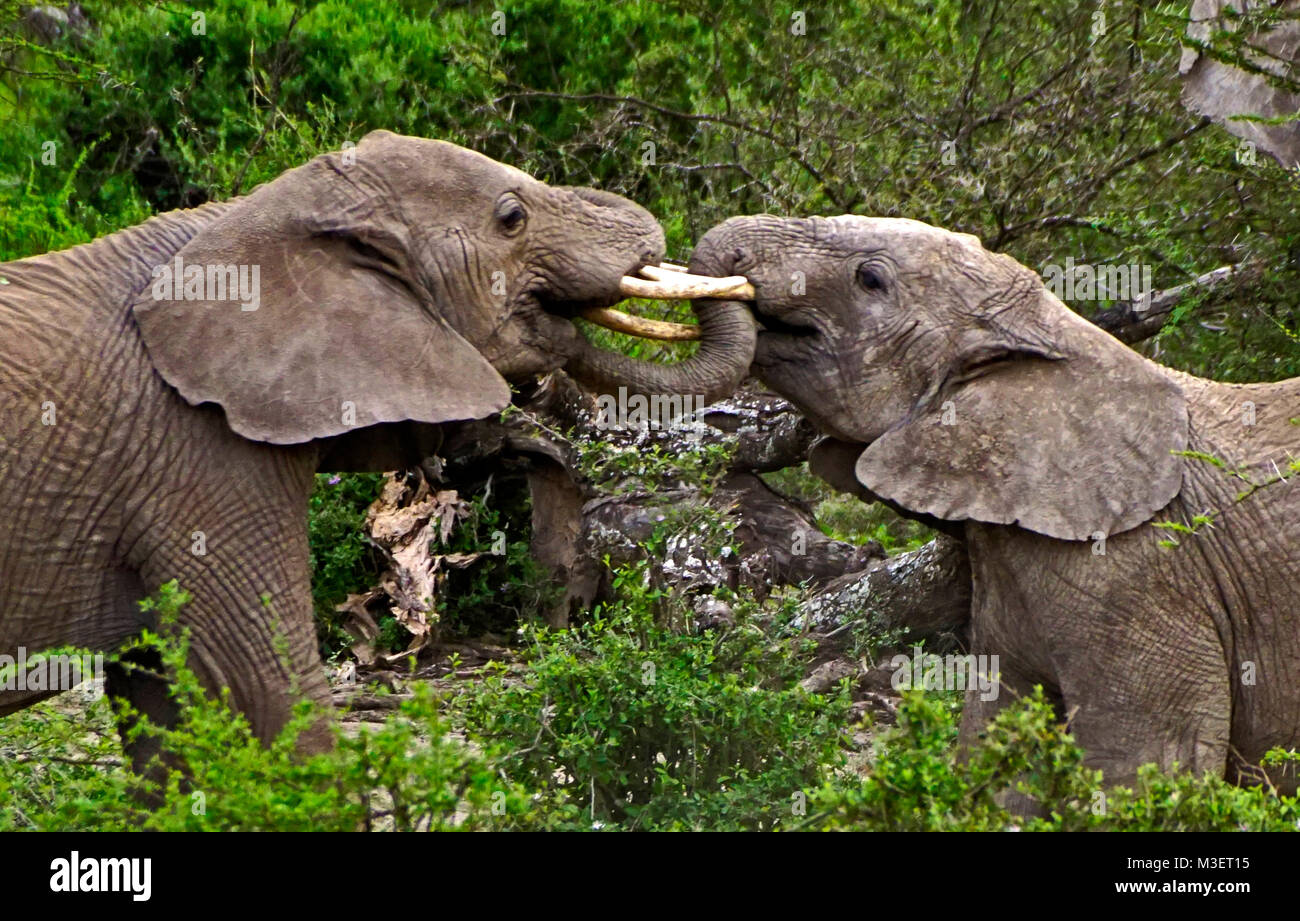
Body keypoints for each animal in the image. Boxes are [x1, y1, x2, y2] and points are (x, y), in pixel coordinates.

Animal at [0, 130, 755, 766]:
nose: (743, 257)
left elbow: (169, 722)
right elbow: (271, 693)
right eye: (512, 217)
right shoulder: (195, 453)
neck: (262, 210)